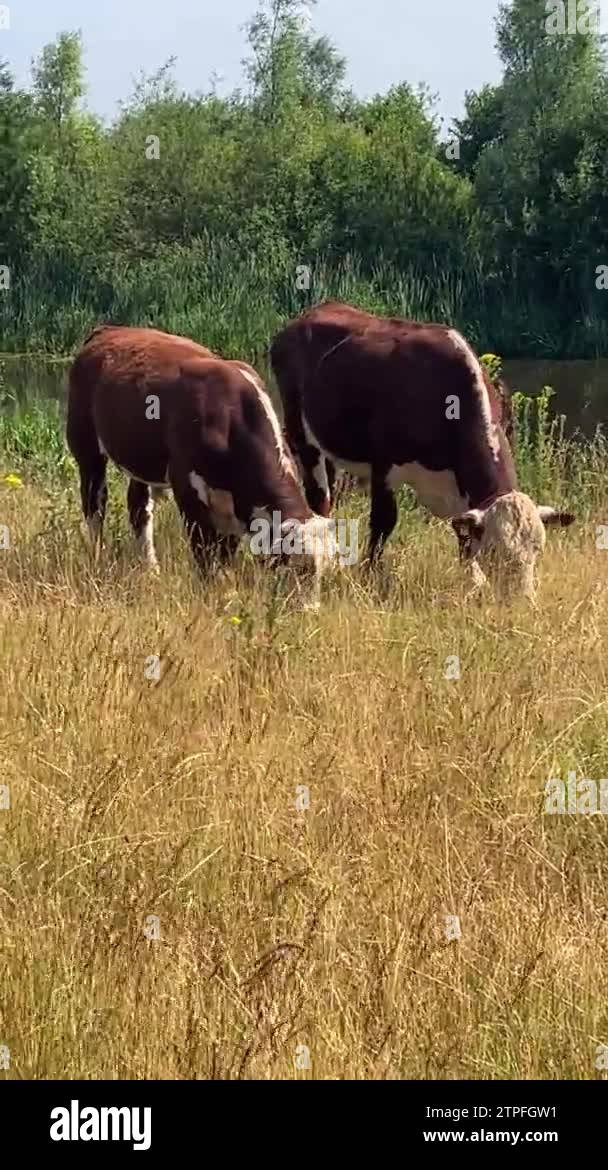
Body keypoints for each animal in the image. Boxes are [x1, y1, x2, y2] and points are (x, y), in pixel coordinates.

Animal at [67, 325, 338, 600]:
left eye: (325, 571)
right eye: (299, 567)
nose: (310, 608)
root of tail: (108, 329)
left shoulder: (232, 503)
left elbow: (226, 551)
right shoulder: (186, 487)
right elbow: (203, 548)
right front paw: (209, 588)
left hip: (140, 461)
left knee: (139, 508)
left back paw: (151, 568)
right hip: (86, 448)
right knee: (94, 506)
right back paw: (97, 558)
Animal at [270, 302, 574, 600]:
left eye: (538, 549)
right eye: (494, 550)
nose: (523, 600)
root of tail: (308, 315)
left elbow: (462, 530)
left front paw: (473, 581)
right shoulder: (384, 465)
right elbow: (383, 522)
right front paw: (370, 575)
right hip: (301, 435)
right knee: (319, 495)